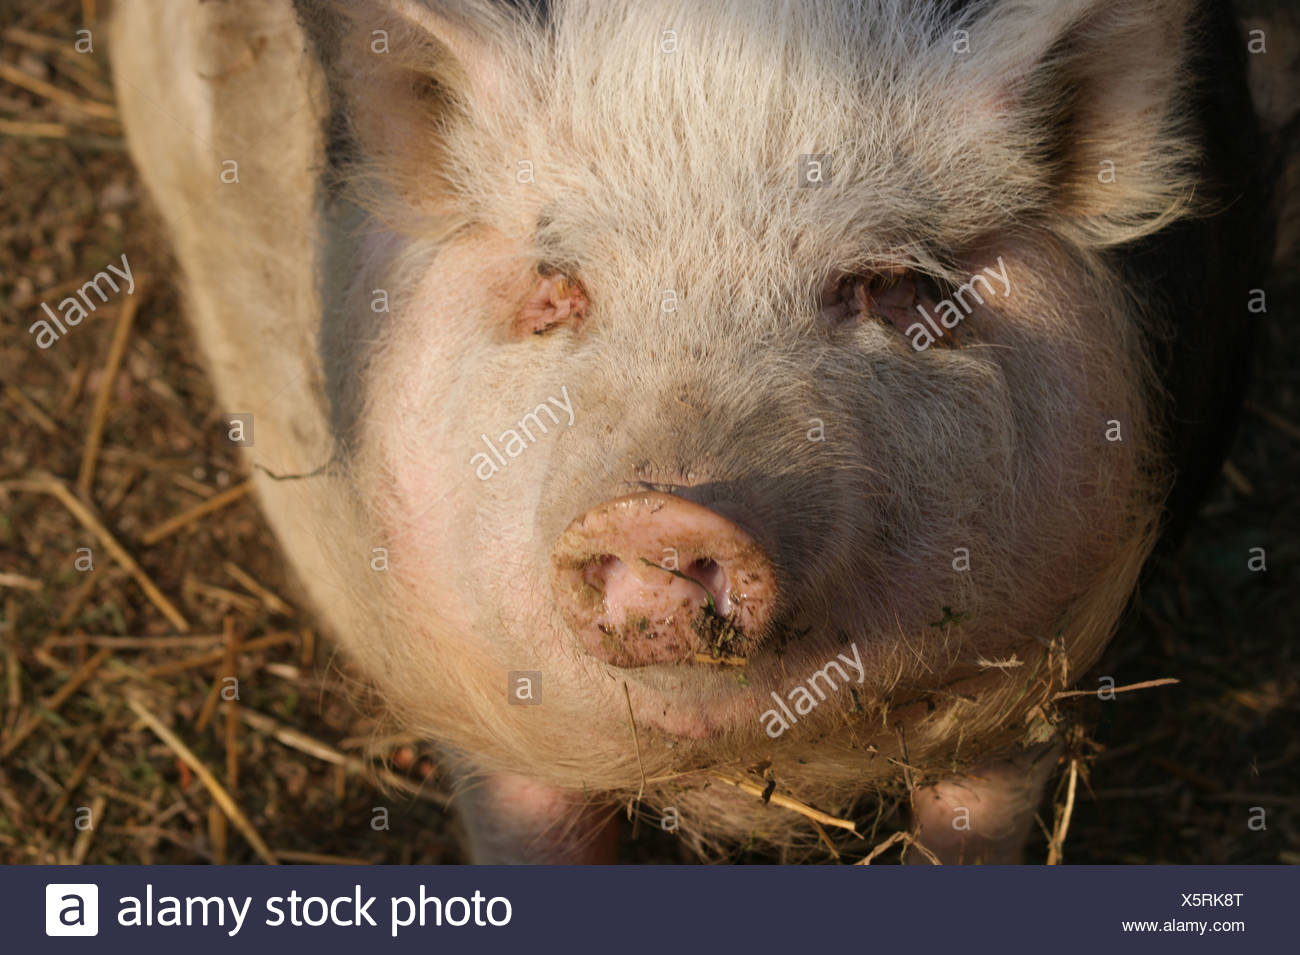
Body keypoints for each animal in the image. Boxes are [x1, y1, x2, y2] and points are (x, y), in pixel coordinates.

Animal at [109, 0, 1273, 863]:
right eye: (557, 289)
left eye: (885, 288)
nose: (662, 512)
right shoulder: (479, 704)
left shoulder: (1035, 671)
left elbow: (972, 828)